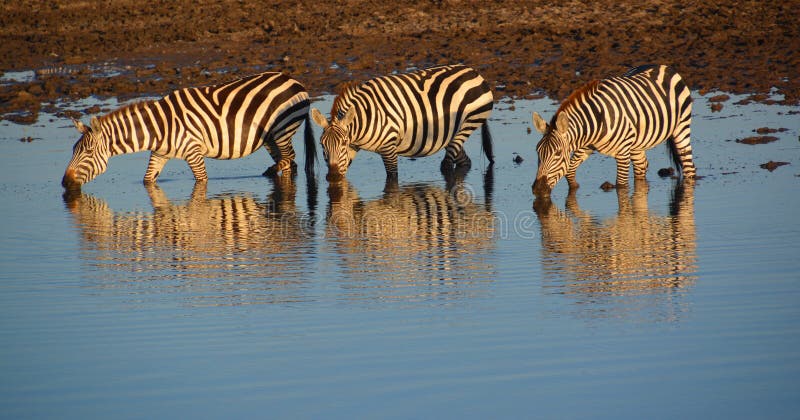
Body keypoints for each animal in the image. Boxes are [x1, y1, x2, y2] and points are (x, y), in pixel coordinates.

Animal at [62, 71, 315, 190]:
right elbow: (147, 181)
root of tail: (294, 80)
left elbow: (201, 182)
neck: (159, 128)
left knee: (289, 158)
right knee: (289, 163)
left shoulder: (193, 152)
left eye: (87, 152)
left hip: (283, 129)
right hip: (271, 138)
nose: (64, 183)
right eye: (73, 150)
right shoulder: (159, 154)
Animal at [309, 64, 495, 183]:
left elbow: (392, 180)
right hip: (452, 133)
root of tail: (473, 71)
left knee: (447, 164)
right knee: (464, 161)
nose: (332, 177)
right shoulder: (350, 151)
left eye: (343, 143)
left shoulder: (388, 148)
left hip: (469, 122)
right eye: (322, 145)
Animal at [530, 64, 696, 198]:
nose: (538, 190)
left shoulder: (622, 152)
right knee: (641, 167)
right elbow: (569, 171)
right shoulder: (585, 146)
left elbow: (621, 186)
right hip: (637, 144)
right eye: (538, 152)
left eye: (557, 153)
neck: (597, 120)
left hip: (681, 127)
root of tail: (664, 66)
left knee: (689, 167)